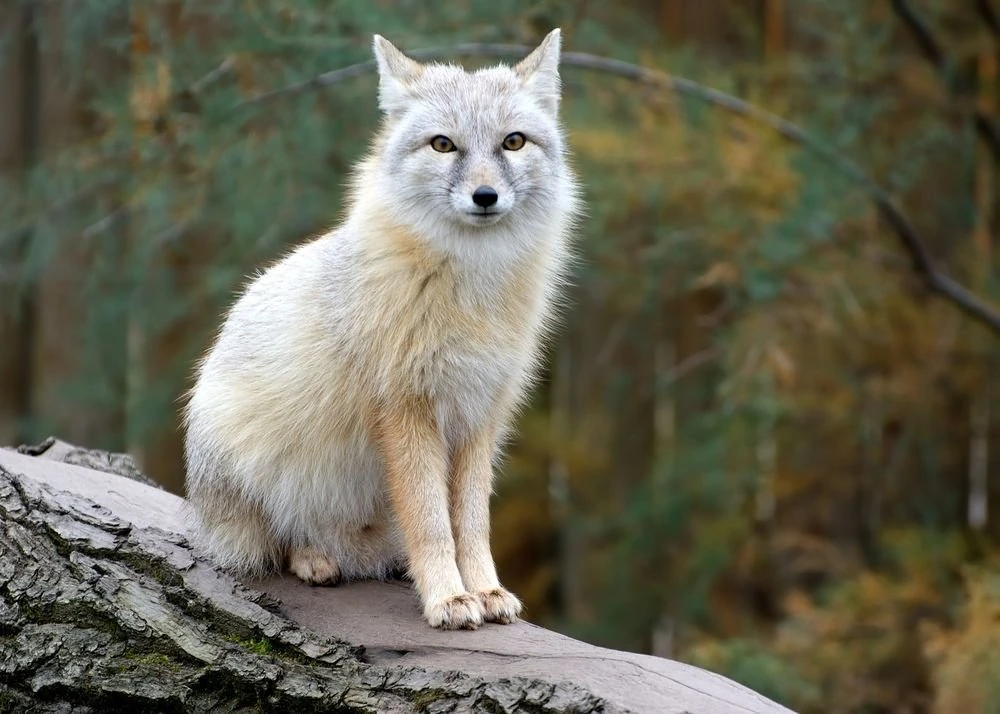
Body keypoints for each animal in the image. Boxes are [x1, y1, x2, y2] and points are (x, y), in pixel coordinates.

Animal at [182, 28, 581, 630]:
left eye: (513, 142)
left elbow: (471, 524)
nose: (485, 197)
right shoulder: (405, 408)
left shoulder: (479, 413)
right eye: (443, 145)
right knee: (274, 542)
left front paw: (484, 589)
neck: (471, 295)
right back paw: (315, 558)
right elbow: (432, 522)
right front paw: (447, 598)